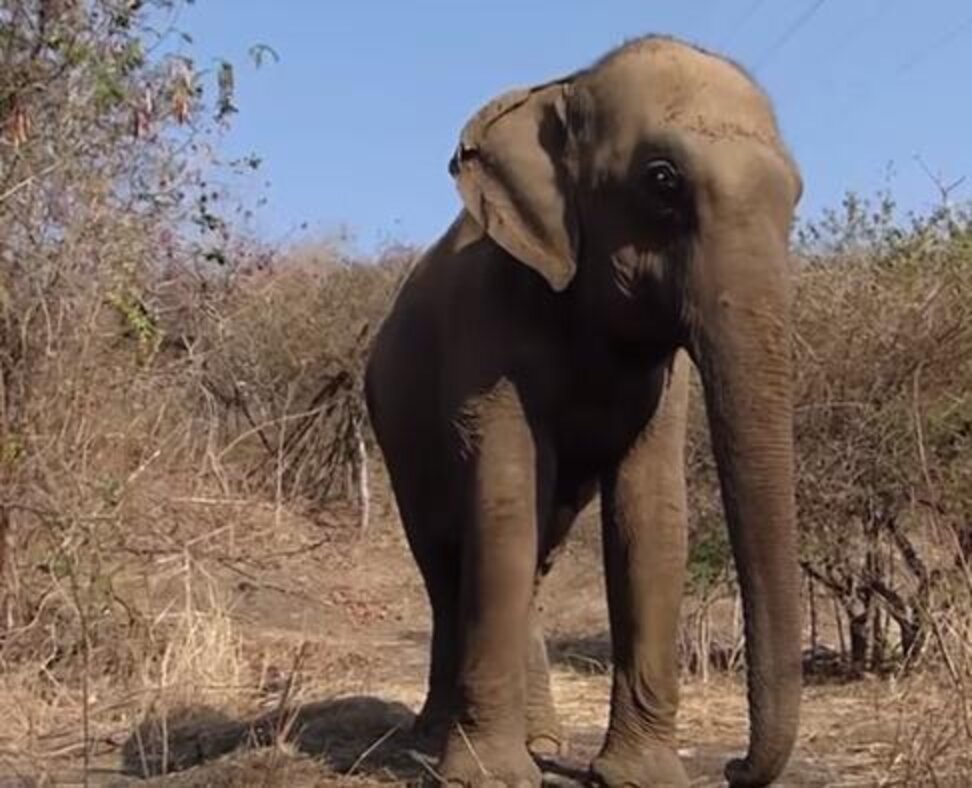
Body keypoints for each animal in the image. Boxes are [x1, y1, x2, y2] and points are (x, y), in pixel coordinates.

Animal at [364, 34, 803, 787]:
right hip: (393, 428)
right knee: (446, 560)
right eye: (662, 181)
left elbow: (650, 516)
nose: (732, 767)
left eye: (796, 196)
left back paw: (539, 740)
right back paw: (432, 739)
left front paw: (639, 777)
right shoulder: (485, 319)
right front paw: (488, 778)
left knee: (533, 555)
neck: (558, 89)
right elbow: (505, 496)